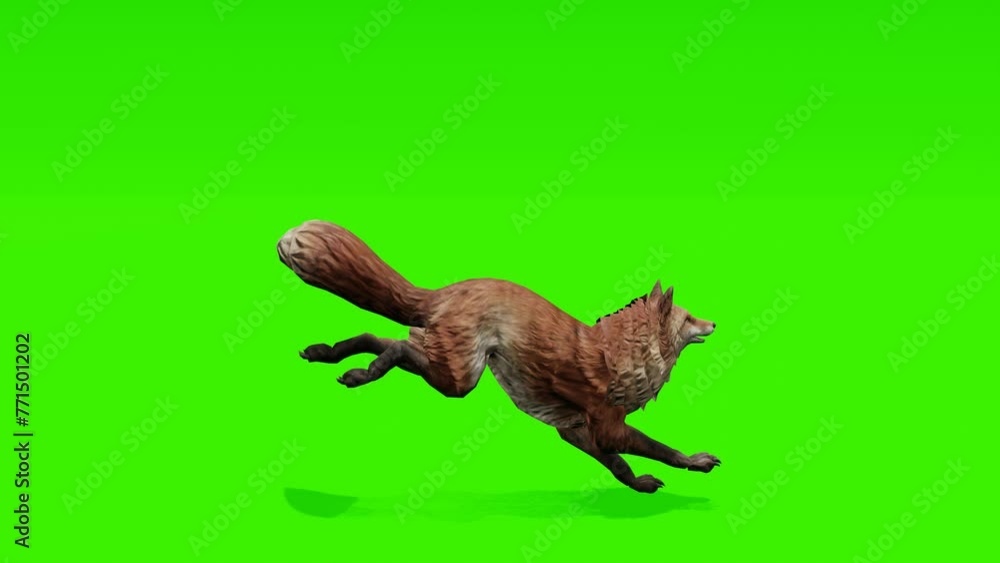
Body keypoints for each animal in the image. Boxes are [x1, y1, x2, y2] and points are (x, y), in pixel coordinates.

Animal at [277, 220, 720, 493]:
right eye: (690, 318)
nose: (715, 323)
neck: (624, 353)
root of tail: (449, 290)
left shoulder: (575, 431)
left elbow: (618, 465)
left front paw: (640, 484)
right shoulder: (607, 426)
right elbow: (658, 448)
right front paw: (692, 462)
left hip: (446, 360)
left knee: (378, 337)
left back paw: (328, 355)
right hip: (460, 378)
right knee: (398, 349)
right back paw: (362, 374)